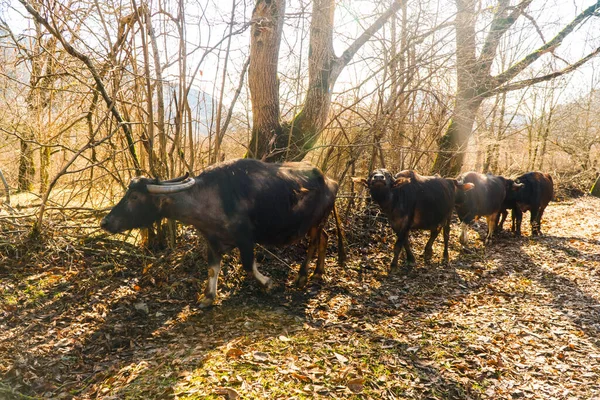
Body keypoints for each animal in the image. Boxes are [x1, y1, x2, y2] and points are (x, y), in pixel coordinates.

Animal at [101, 159, 344, 306]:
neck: (210, 198)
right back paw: (318, 273)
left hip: (316, 221)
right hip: (318, 223)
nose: (105, 222)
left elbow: (248, 265)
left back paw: (302, 276)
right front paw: (208, 297)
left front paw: (267, 283)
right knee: (324, 238)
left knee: (313, 243)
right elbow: (212, 269)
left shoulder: (246, 239)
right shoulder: (212, 241)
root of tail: (330, 180)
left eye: (134, 197)